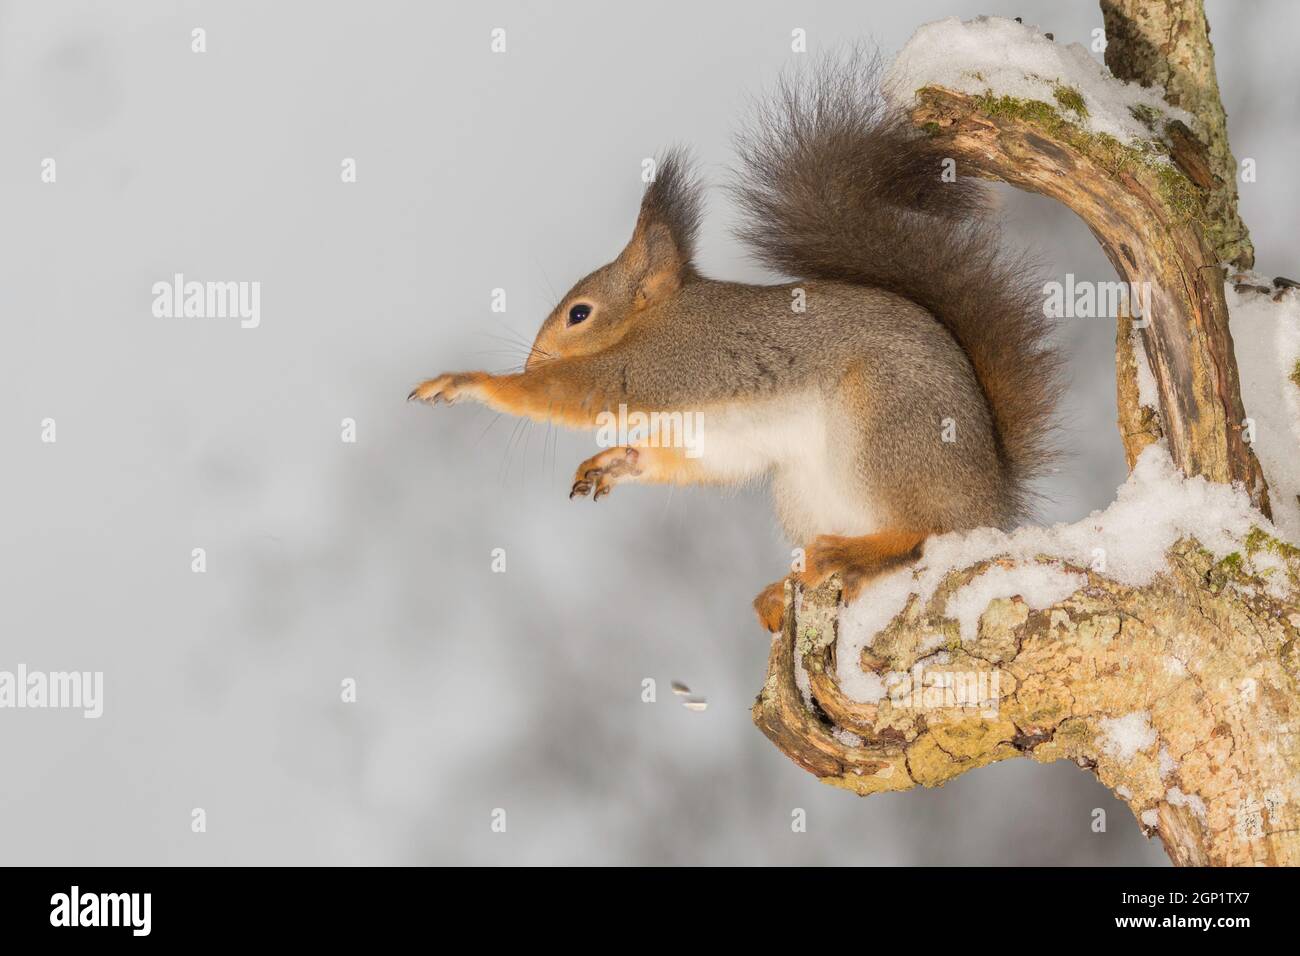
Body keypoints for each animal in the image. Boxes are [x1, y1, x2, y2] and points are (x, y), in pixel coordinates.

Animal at [409, 58, 1063, 631]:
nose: (530, 357)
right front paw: (611, 462)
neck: (660, 317)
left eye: (579, 314)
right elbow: (677, 457)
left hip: (890, 432)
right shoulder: (702, 432)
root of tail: (991, 504)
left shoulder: (660, 365)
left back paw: (854, 556)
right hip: (806, 488)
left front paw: (471, 382)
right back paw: (783, 590)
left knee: (926, 533)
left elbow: (571, 390)